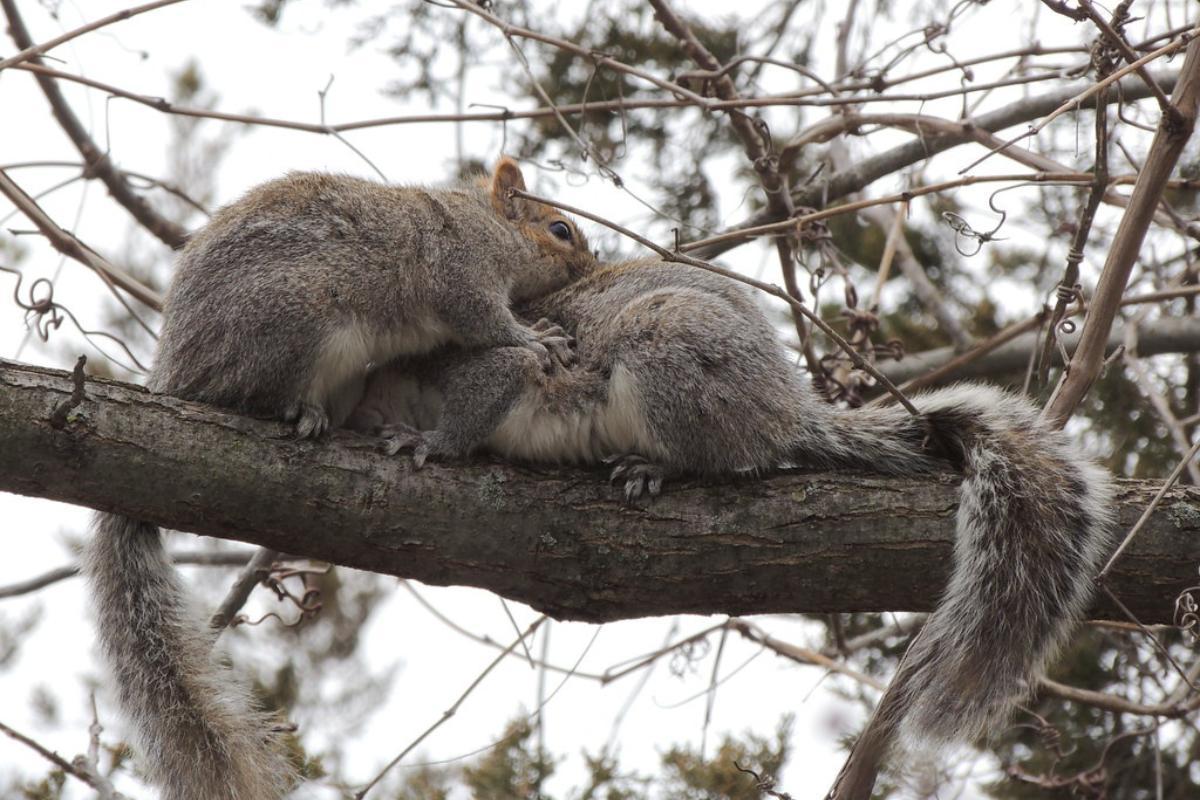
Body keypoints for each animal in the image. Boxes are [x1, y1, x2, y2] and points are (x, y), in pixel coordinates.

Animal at [84, 158, 595, 800]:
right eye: (560, 229)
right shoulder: (459, 268)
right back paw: (298, 412)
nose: (593, 264)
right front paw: (536, 338)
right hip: (293, 321)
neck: (487, 222)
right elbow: (485, 321)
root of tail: (175, 376)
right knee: (248, 393)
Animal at [350, 256, 1117, 799]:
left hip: (667, 362)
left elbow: (473, 410)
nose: (346, 413)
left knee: (714, 456)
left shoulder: (498, 366)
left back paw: (653, 466)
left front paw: (428, 442)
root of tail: (780, 410)